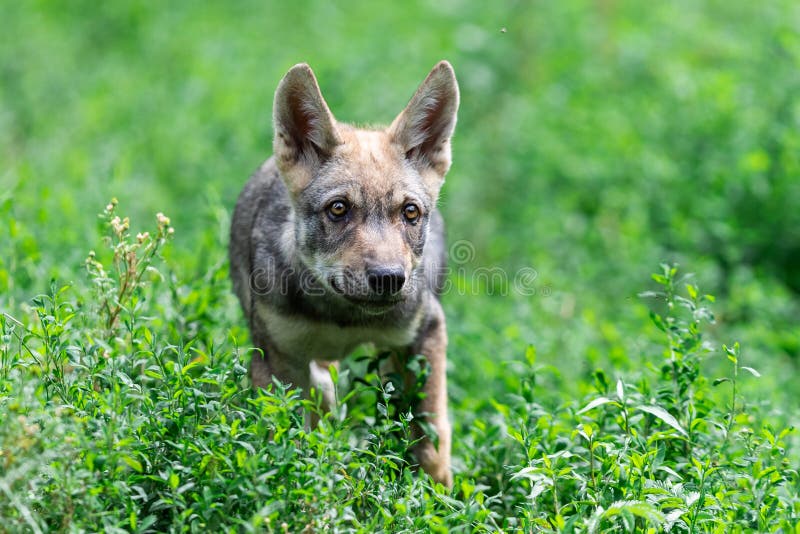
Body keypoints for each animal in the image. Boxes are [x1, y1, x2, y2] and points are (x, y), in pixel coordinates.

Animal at [229, 61, 459, 487]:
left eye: (410, 212)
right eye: (338, 209)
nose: (389, 278)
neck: (342, 321)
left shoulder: (425, 333)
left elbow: (432, 438)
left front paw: (438, 497)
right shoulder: (278, 361)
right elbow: (280, 446)